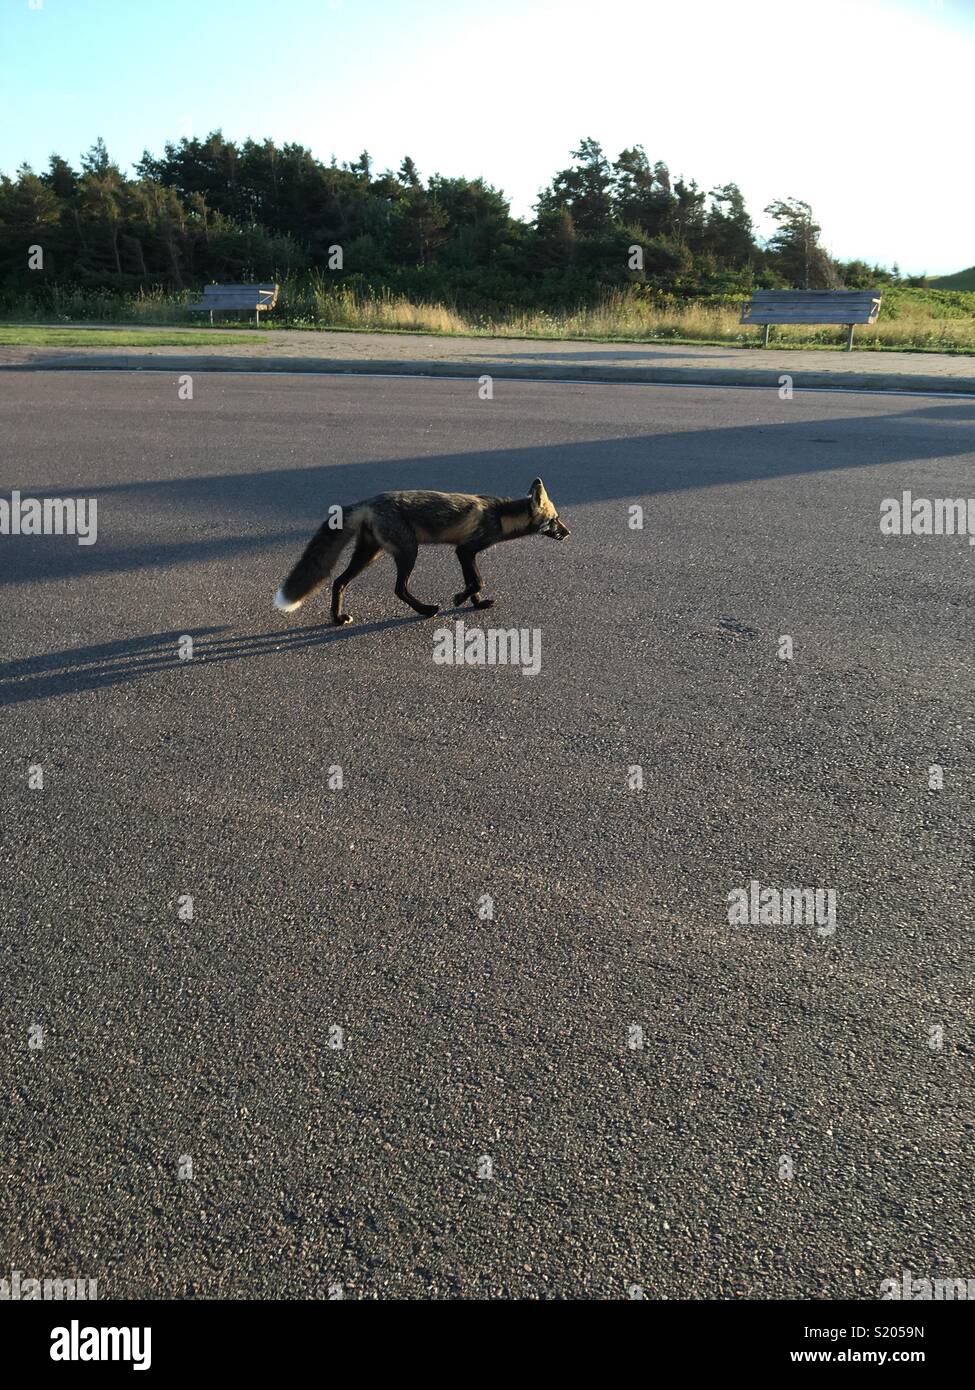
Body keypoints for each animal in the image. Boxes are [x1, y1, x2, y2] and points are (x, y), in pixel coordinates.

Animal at [274, 477, 570, 625]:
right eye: (555, 520)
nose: (568, 533)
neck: (499, 515)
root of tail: (367, 502)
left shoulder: (466, 554)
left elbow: (475, 582)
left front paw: (476, 603)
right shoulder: (465, 550)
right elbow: (477, 581)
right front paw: (459, 599)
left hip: (370, 553)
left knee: (338, 582)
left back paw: (337, 618)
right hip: (408, 551)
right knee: (399, 589)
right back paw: (427, 610)